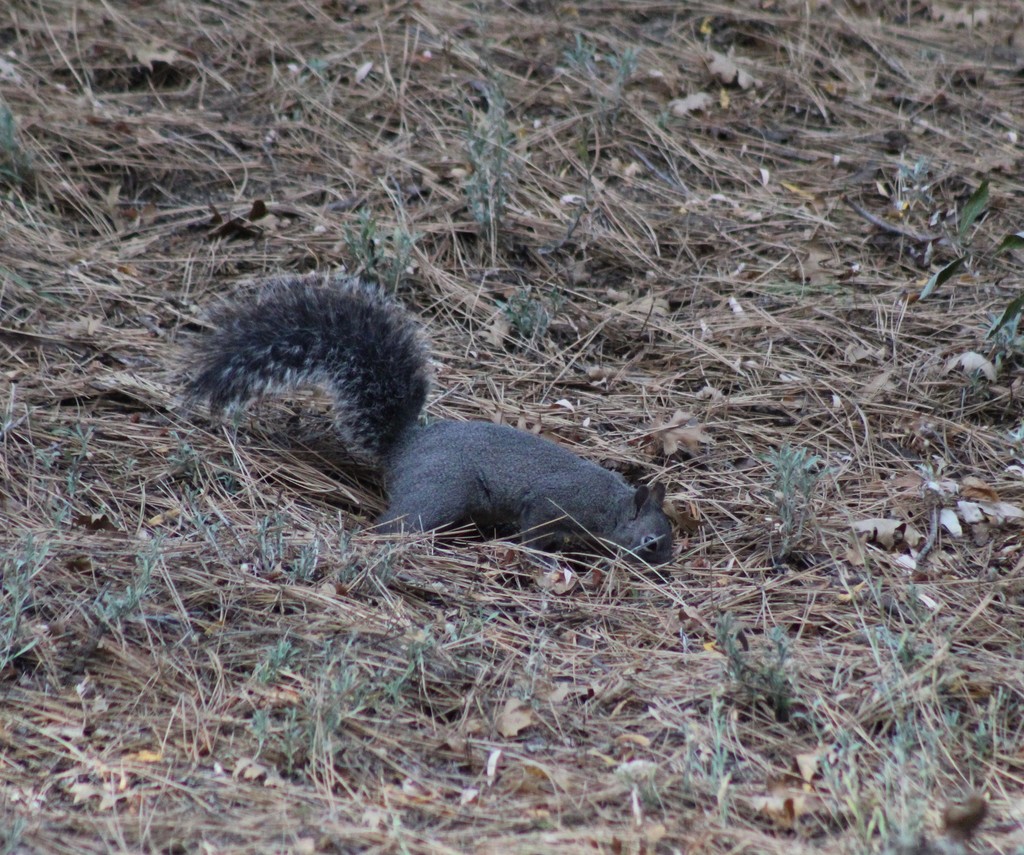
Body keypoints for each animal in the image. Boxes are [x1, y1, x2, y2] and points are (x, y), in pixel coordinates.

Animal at [185, 273, 673, 564]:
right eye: (651, 541)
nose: (665, 567)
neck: (609, 503)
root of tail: (405, 446)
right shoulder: (549, 504)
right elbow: (534, 533)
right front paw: (543, 559)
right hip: (439, 493)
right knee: (393, 525)